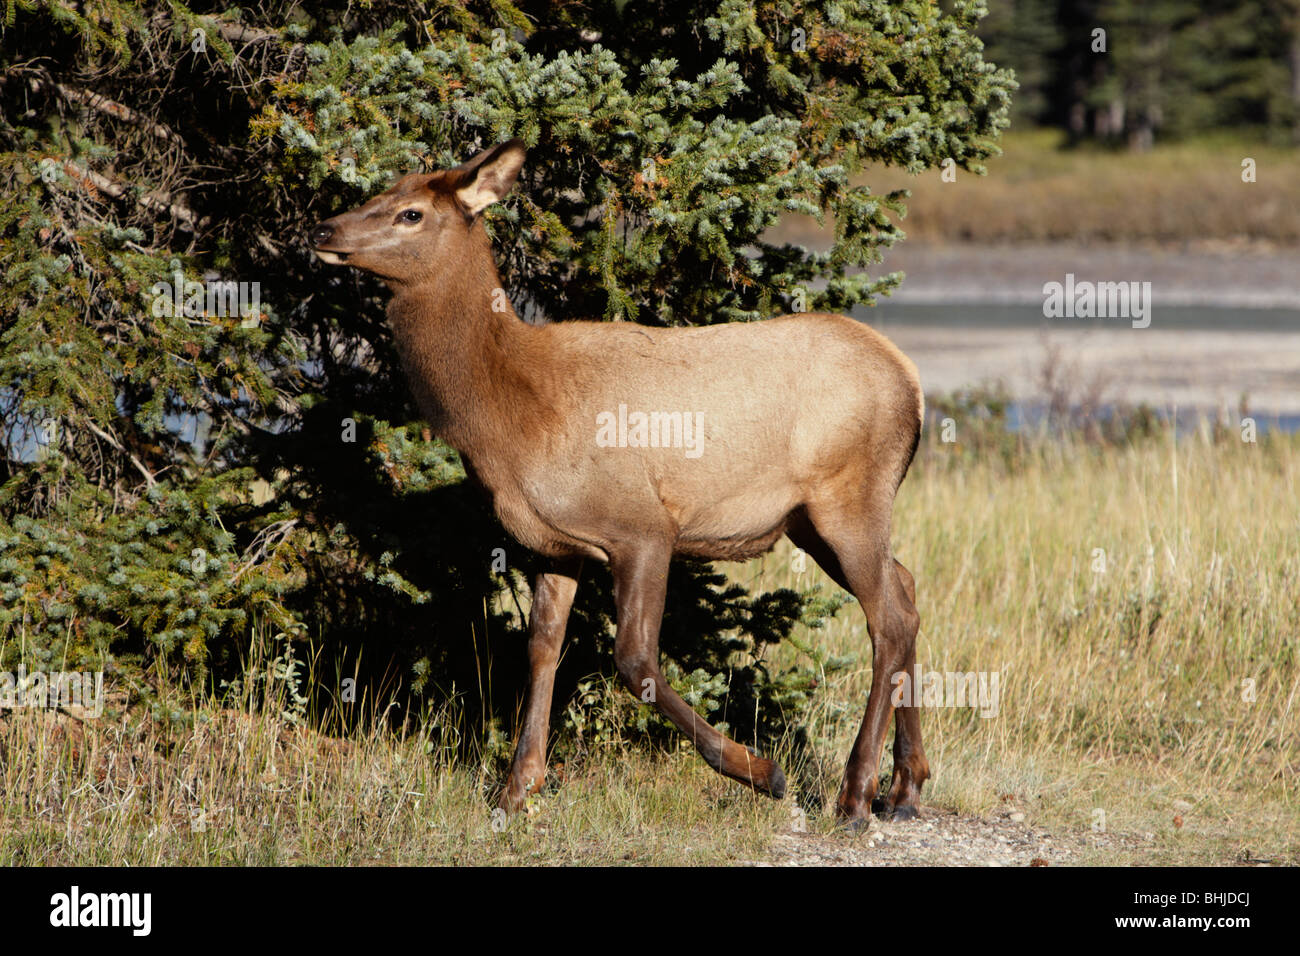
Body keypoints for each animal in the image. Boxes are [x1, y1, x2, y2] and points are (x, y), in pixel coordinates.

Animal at [310, 139, 929, 825]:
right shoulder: (550, 544)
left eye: (411, 213)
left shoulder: (643, 527)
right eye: (380, 193)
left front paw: (759, 770)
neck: (510, 420)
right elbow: (542, 647)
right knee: (906, 590)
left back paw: (856, 794)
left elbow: (634, 661)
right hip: (809, 520)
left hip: (848, 492)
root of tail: (912, 383)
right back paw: (906, 787)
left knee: (887, 617)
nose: (323, 229)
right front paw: (518, 786)